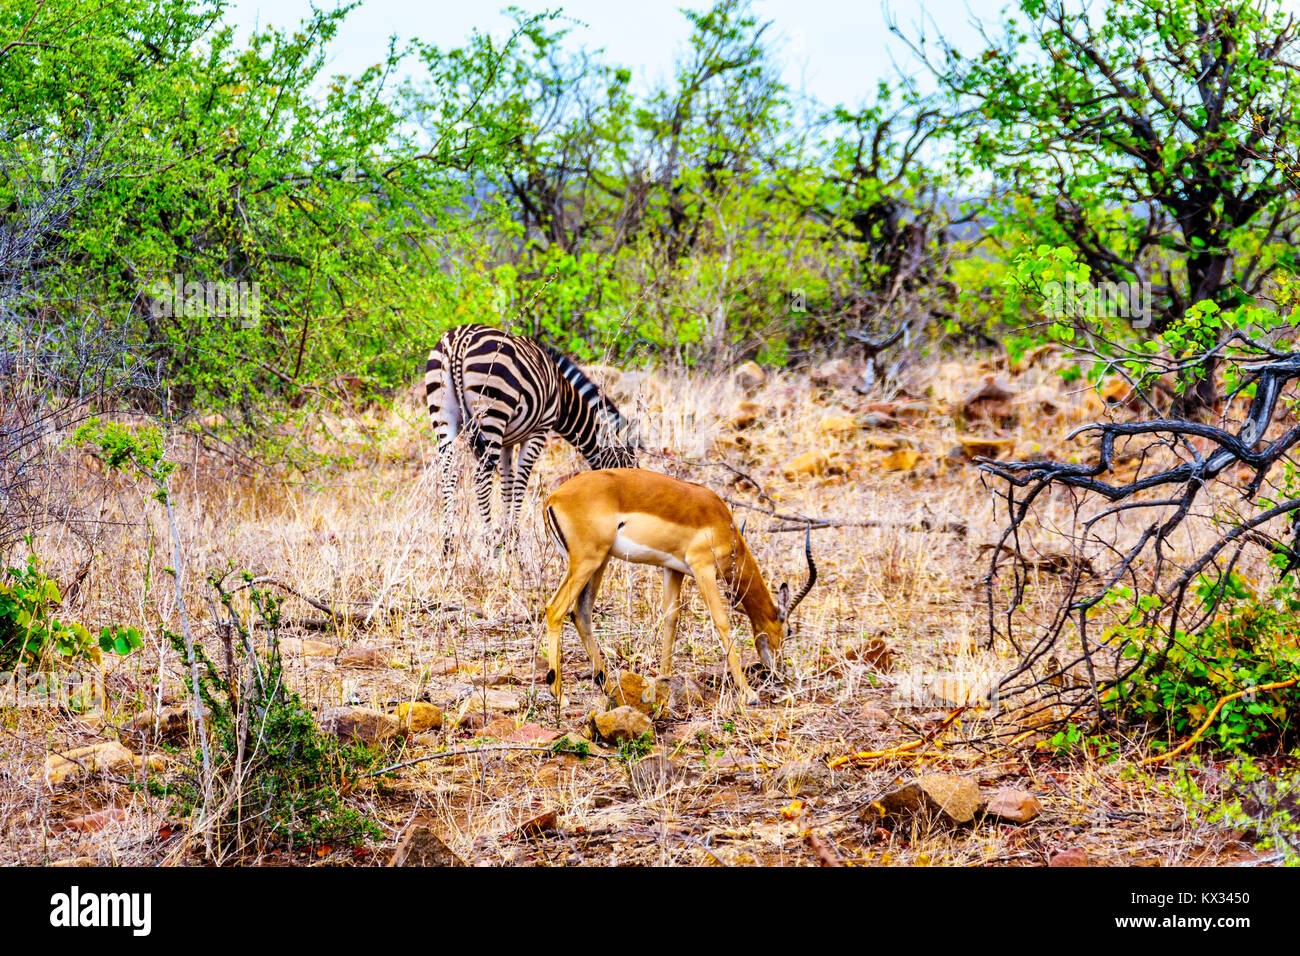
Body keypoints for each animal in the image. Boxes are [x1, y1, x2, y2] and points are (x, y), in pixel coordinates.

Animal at [425, 324, 637, 540]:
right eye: (628, 466)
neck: (563, 396)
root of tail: (460, 341)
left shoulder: (507, 442)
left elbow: (508, 483)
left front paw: (507, 535)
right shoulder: (539, 430)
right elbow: (520, 481)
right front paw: (513, 536)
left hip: (443, 413)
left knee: (448, 473)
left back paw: (448, 540)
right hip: (492, 412)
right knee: (481, 477)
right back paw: (488, 539)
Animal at [542, 468, 817, 707]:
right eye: (788, 630)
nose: (779, 671)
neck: (722, 524)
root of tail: (553, 498)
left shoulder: (673, 570)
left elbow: (671, 618)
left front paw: (661, 682)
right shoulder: (703, 569)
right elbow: (721, 621)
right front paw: (749, 694)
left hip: (600, 561)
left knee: (581, 613)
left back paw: (609, 688)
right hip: (587, 561)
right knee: (555, 609)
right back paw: (560, 696)